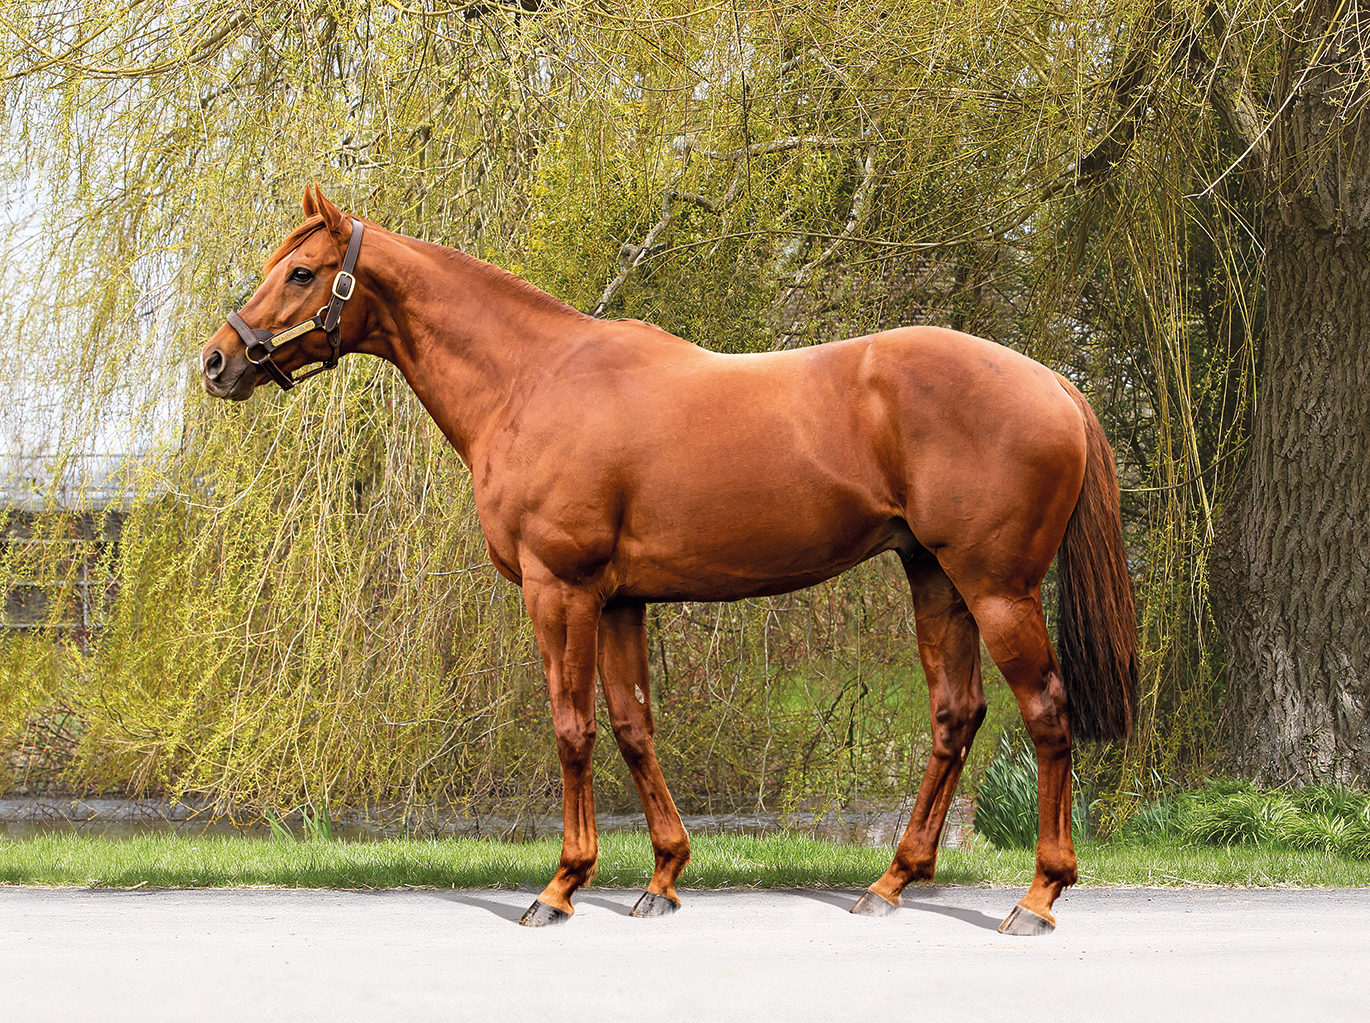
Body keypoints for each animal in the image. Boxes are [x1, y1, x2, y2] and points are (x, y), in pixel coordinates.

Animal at [202, 186, 1137, 934]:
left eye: (302, 272)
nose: (218, 359)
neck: (532, 380)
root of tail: (1053, 383)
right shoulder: (620, 600)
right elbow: (633, 727)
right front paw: (662, 876)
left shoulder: (560, 590)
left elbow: (572, 727)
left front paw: (561, 884)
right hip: (935, 578)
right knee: (956, 716)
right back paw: (891, 882)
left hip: (999, 588)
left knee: (1046, 713)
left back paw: (1038, 896)